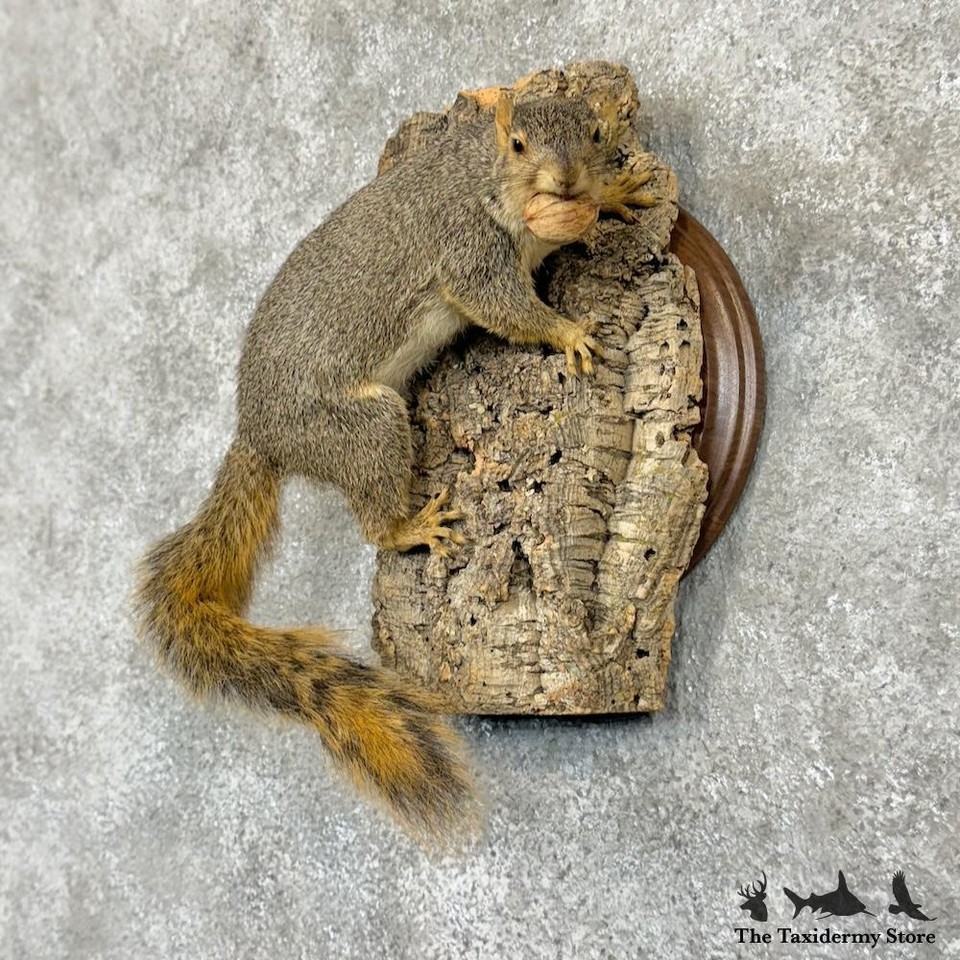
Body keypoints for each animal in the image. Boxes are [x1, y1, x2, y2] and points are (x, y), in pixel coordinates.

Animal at [135, 89, 656, 840]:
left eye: (592, 132)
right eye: (519, 145)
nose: (565, 182)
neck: (483, 177)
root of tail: (259, 434)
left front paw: (612, 192)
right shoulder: (470, 249)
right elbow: (503, 306)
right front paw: (569, 333)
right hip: (360, 428)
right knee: (372, 517)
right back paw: (411, 527)